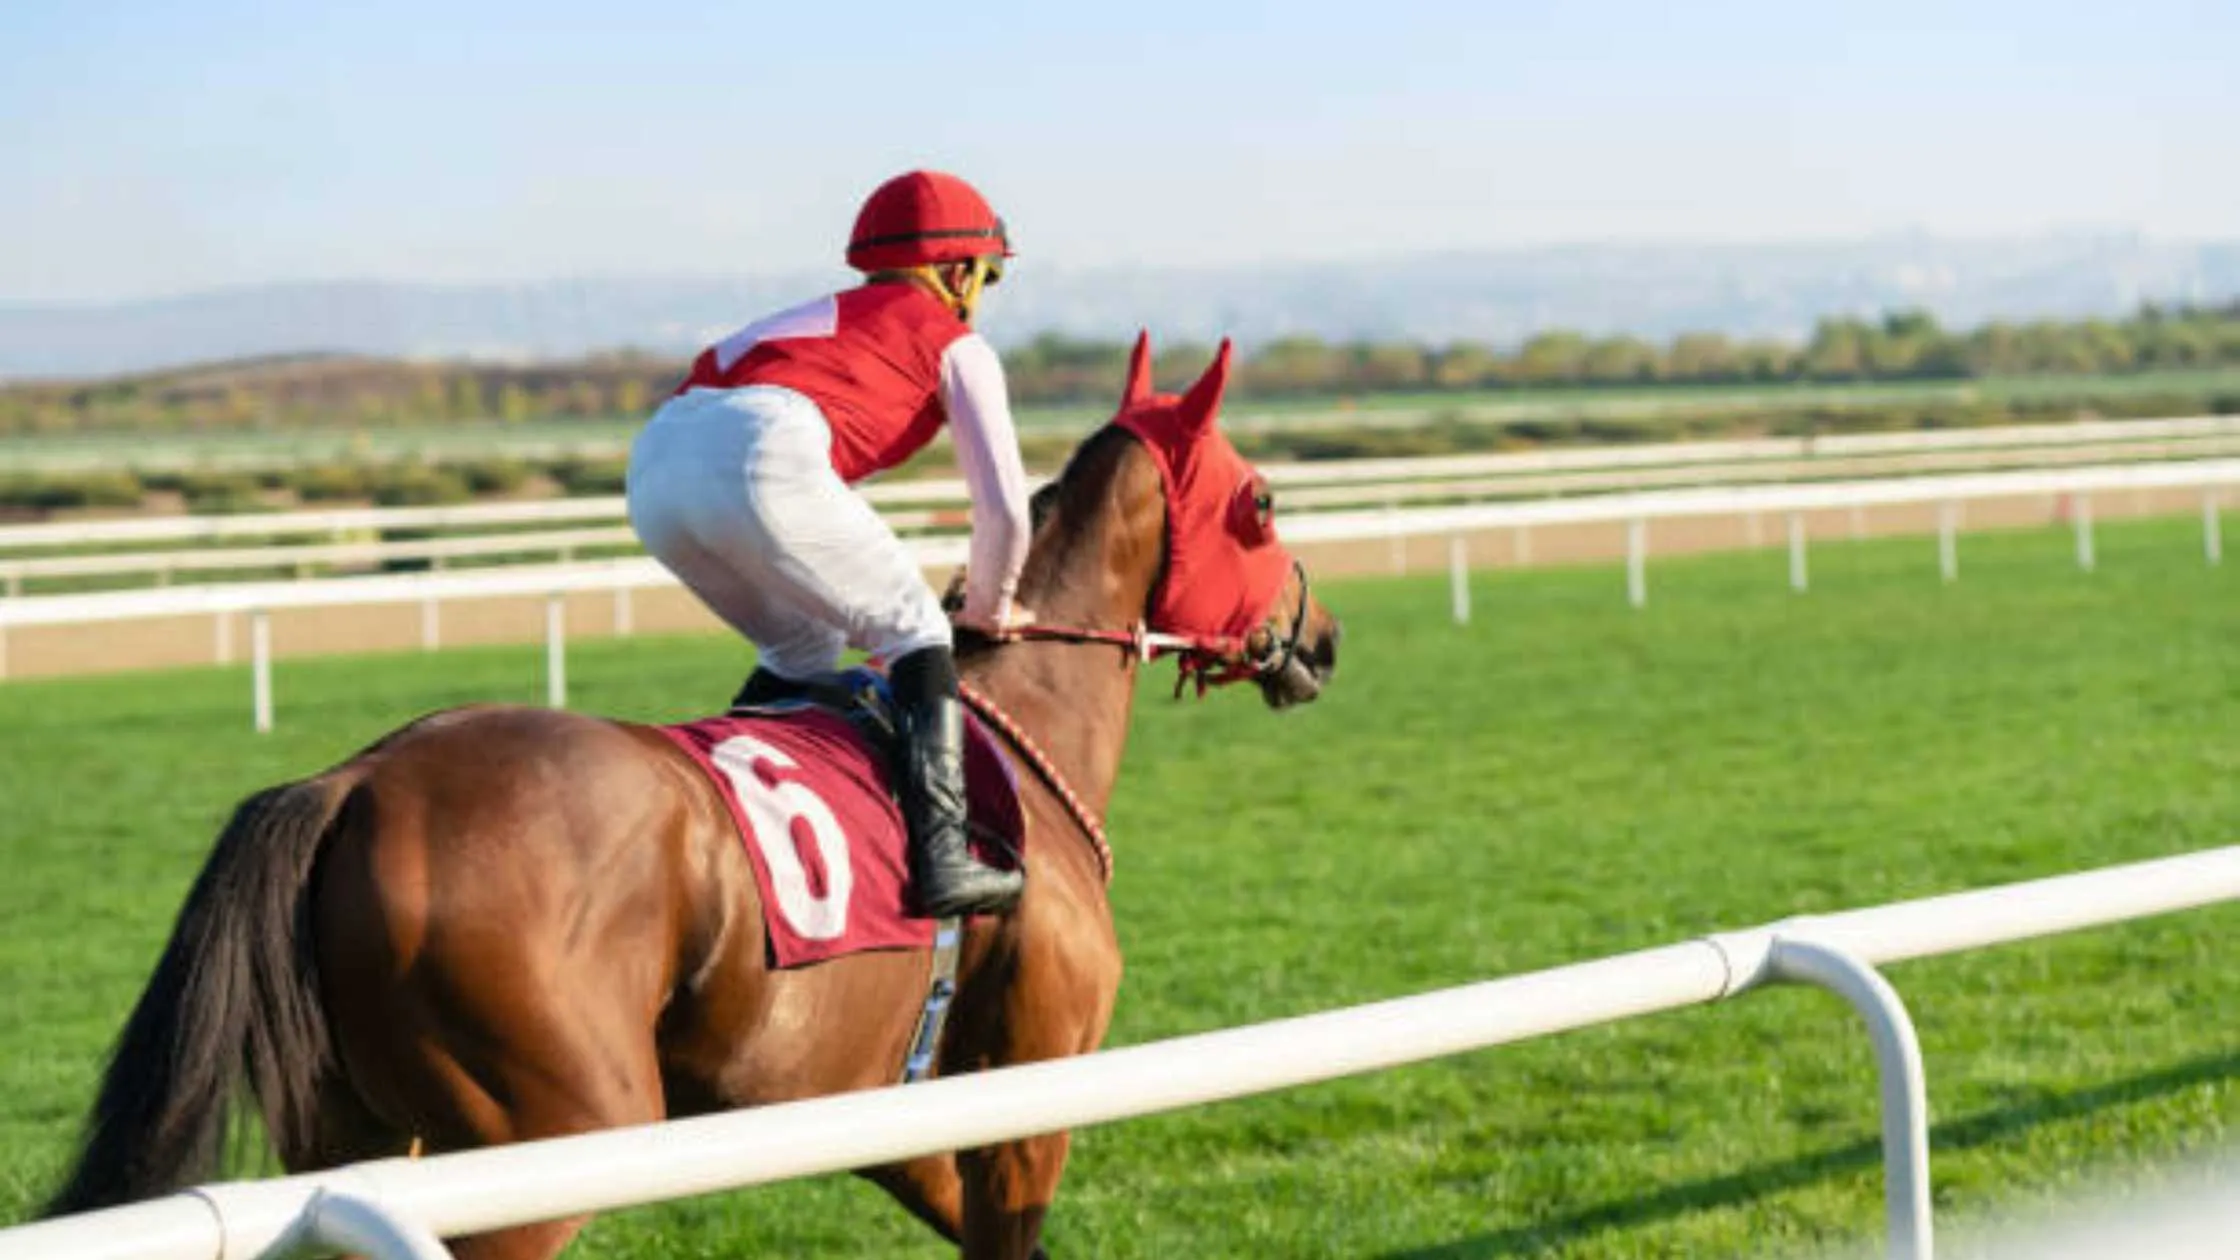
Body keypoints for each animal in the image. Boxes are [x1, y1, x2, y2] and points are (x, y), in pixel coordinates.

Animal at [39, 333, 1342, 1259]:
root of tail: (349, 783)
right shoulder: (1026, 1096)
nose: (1320, 638)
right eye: (1262, 501)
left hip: (355, 1129)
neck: (1014, 738)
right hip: (549, 1133)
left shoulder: (878, 1109)